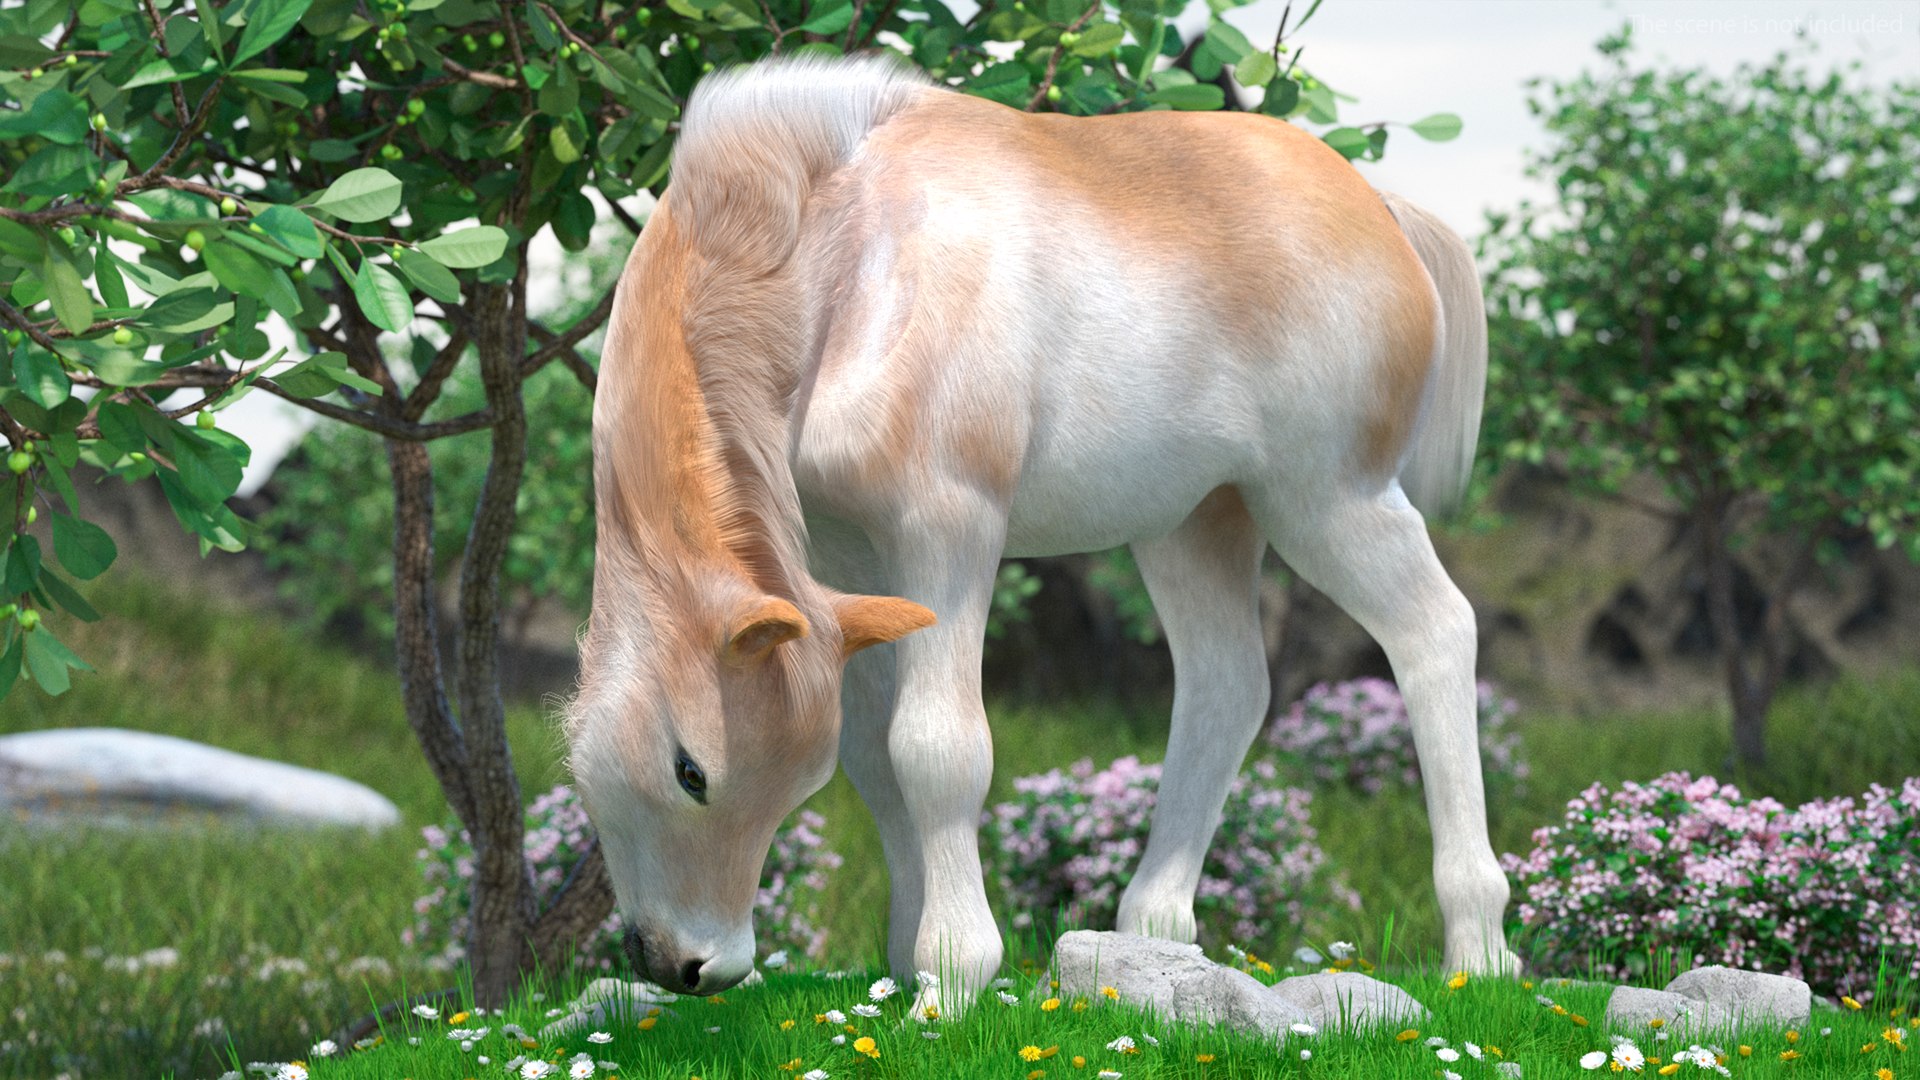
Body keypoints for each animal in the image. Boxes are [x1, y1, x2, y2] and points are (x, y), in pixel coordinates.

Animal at [564, 54, 1519, 1012]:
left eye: (691, 770)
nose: (697, 968)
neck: (846, 260)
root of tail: (1382, 208)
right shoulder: (844, 559)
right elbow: (875, 754)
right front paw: (902, 968)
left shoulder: (947, 528)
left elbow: (936, 748)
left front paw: (951, 981)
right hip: (1199, 523)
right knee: (1228, 685)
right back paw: (1154, 941)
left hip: (1328, 501)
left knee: (1436, 632)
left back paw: (1480, 951)